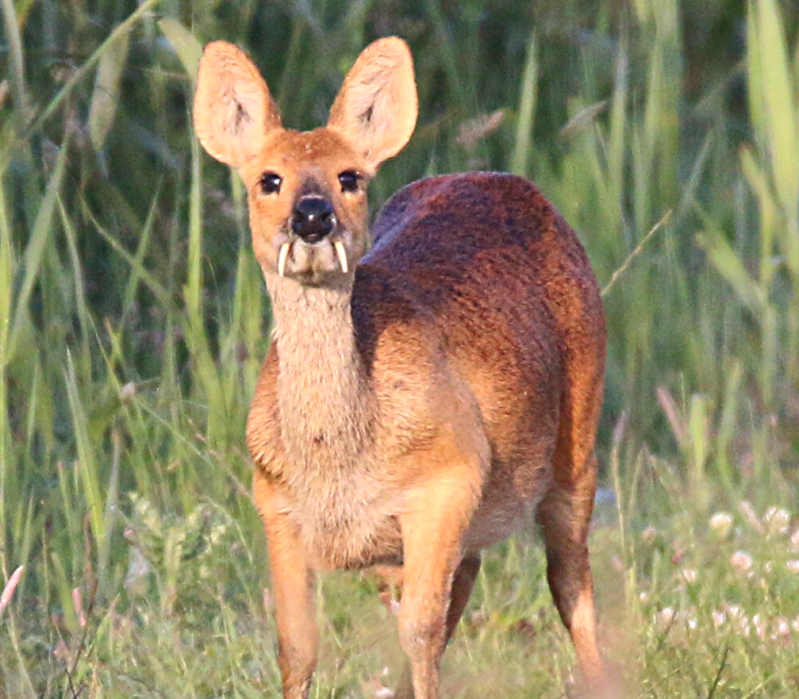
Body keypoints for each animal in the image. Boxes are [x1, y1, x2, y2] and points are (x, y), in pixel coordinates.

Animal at [193, 36, 609, 699]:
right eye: (268, 180)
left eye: (350, 177)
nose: (312, 216)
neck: (339, 460)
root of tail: (509, 181)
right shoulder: (275, 504)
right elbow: (297, 646)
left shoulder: (448, 479)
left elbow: (420, 632)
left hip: (578, 441)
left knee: (570, 585)